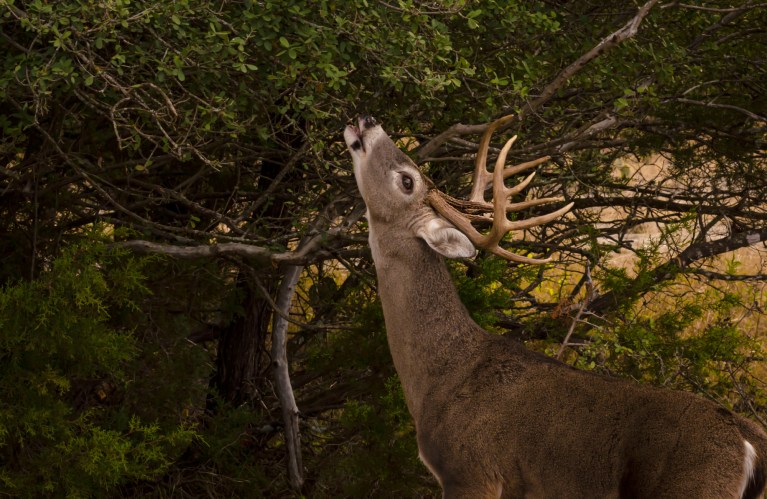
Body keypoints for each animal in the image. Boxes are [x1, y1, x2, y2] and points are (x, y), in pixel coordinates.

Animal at [344, 113, 767, 498]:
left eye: (407, 181)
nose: (367, 119)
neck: (443, 372)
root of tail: (751, 442)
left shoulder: (470, 471)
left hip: (690, 488)